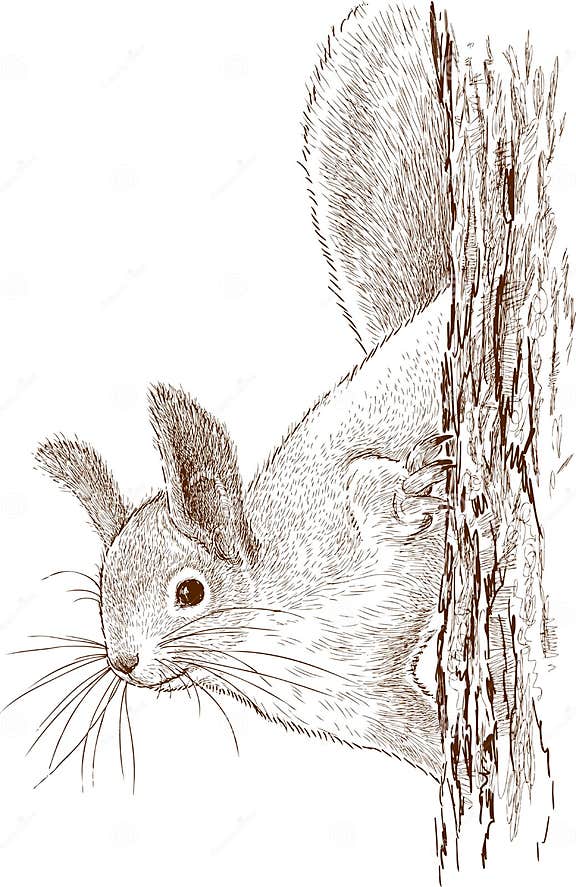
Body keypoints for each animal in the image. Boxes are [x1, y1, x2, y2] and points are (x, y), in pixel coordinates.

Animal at [34, 4, 453, 780]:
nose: (123, 662)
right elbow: (413, 729)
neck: (266, 636)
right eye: (102, 587)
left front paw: (412, 494)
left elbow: (370, 483)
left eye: (189, 592)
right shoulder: (355, 701)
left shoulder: (330, 522)